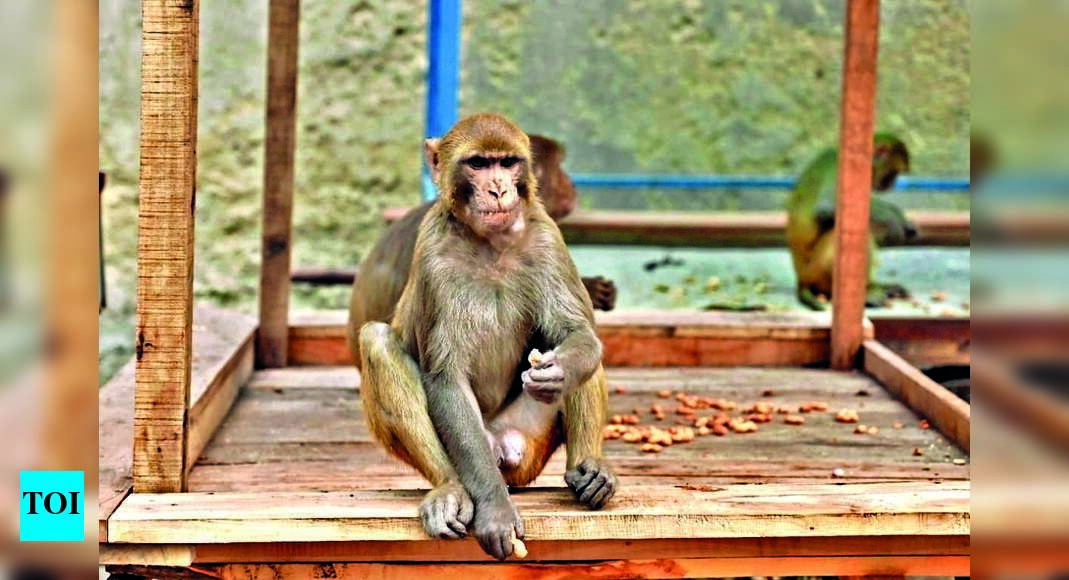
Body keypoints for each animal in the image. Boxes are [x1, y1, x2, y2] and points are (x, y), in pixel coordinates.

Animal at [786, 132, 917, 310]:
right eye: (892, 174)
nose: (891, 184)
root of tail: (801, 278)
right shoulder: (837, 165)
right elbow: (825, 208)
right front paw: (892, 216)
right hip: (816, 270)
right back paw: (867, 292)